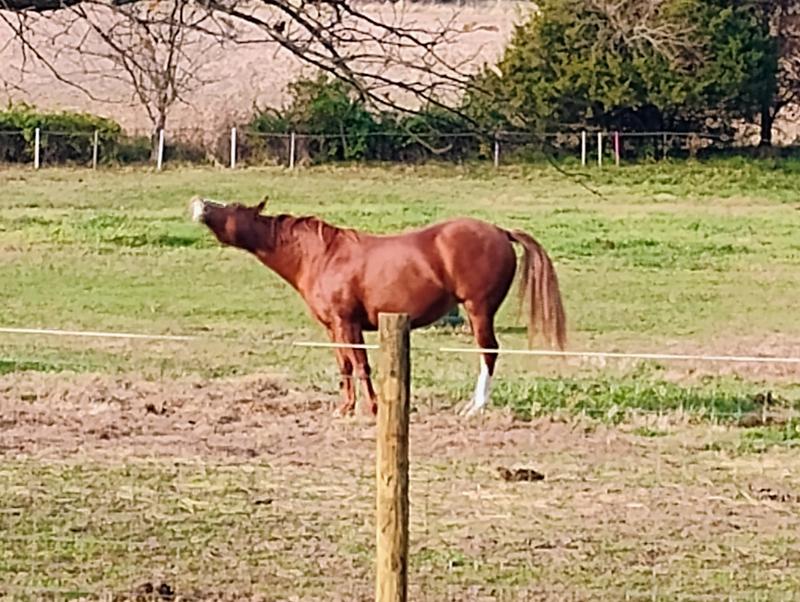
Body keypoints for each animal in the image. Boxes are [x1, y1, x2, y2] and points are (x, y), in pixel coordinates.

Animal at [189, 195, 566, 418]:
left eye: (233, 208)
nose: (199, 204)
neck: (322, 256)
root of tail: (501, 231)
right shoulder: (333, 327)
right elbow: (344, 365)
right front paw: (345, 408)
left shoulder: (349, 323)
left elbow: (361, 364)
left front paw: (371, 408)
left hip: (479, 311)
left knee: (489, 352)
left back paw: (474, 407)